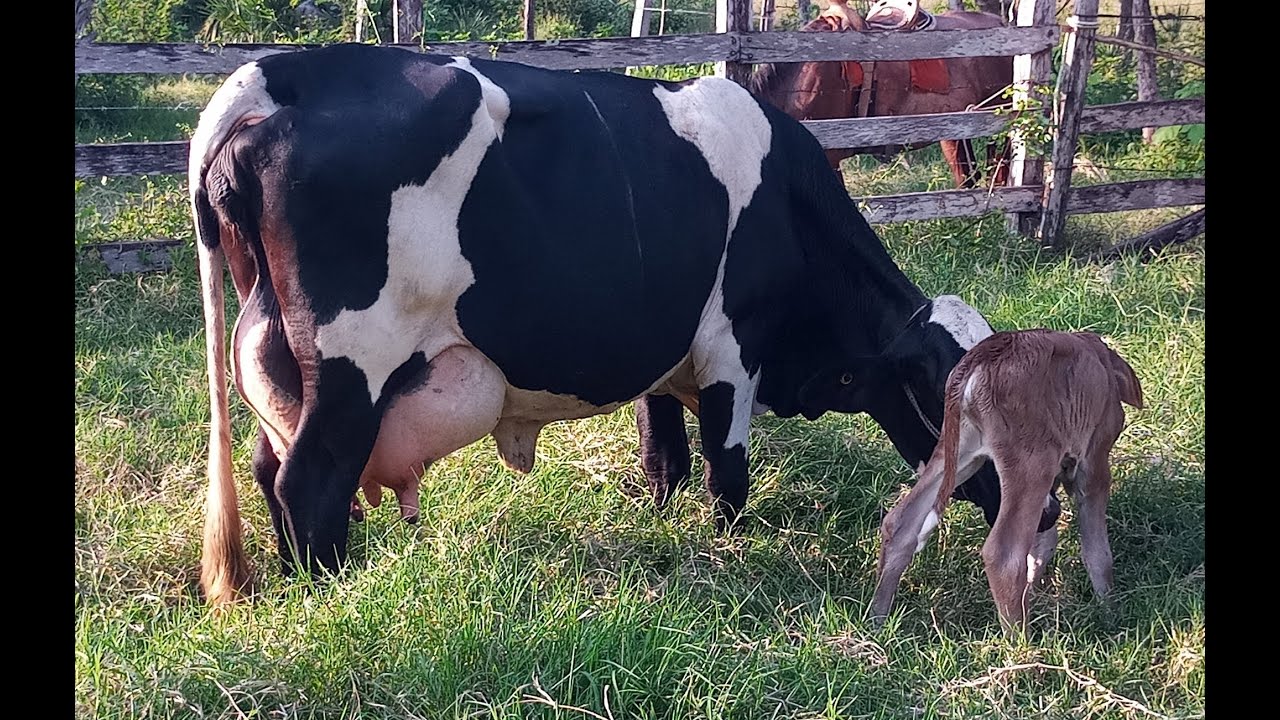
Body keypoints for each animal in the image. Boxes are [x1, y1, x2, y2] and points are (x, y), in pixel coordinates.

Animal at [188, 43, 1054, 606]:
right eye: (952, 397)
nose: (1043, 511)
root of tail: (279, 76)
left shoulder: (662, 355)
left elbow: (664, 460)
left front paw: (667, 530)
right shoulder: (732, 352)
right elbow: (727, 474)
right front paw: (729, 554)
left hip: (276, 359)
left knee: (268, 467)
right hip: (352, 364)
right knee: (310, 480)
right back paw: (331, 591)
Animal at [805, 329, 1144, 634]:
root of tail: (985, 355)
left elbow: (1046, 542)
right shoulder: (1094, 463)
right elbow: (1097, 552)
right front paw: (1110, 612)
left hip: (958, 451)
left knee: (900, 523)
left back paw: (877, 621)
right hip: (1030, 461)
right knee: (1003, 552)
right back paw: (1021, 643)